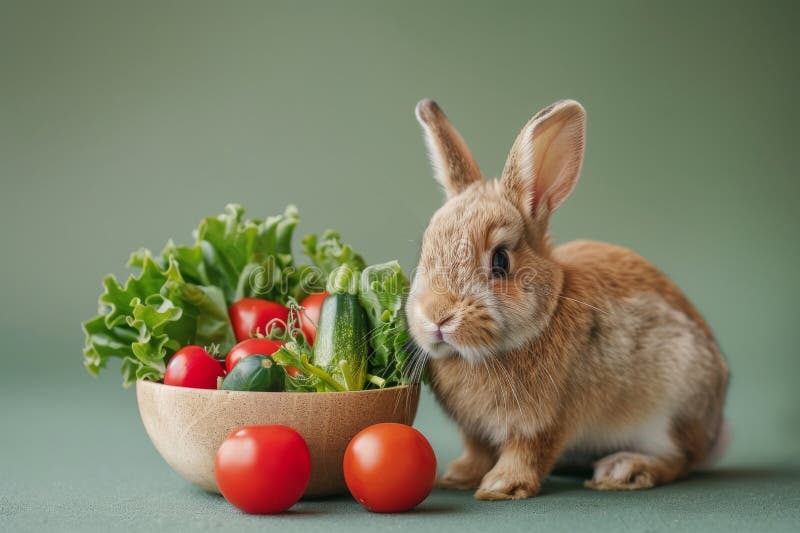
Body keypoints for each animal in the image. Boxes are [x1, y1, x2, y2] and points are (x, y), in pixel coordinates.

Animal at [405, 99, 729, 500]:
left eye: (500, 261)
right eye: (424, 251)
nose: (437, 316)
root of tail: (714, 427)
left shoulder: (546, 421)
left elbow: (528, 452)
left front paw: (500, 486)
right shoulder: (475, 431)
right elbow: (477, 450)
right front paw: (459, 476)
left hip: (671, 409)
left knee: (680, 460)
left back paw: (625, 470)